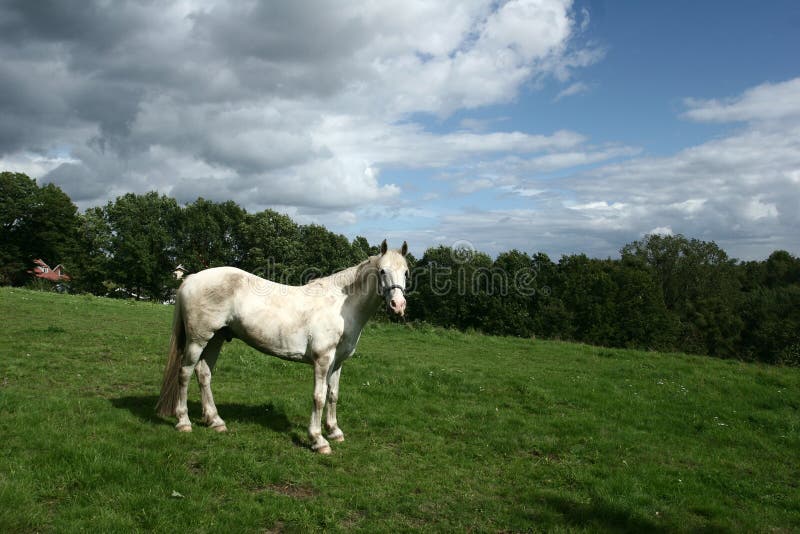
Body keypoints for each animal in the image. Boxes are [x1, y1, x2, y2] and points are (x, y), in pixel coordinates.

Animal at [156, 239, 409, 454]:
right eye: (382, 271)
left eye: (406, 272)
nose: (398, 305)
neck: (340, 307)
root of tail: (190, 279)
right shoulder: (322, 360)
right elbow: (319, 396)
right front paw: (318, 440)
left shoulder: (337, 363)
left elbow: (333, 395)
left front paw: (334, 431)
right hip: (197, 340)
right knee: (185, 373)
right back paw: (184, 422)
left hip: (215, 338)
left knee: (204, 374)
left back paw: (215, 421)